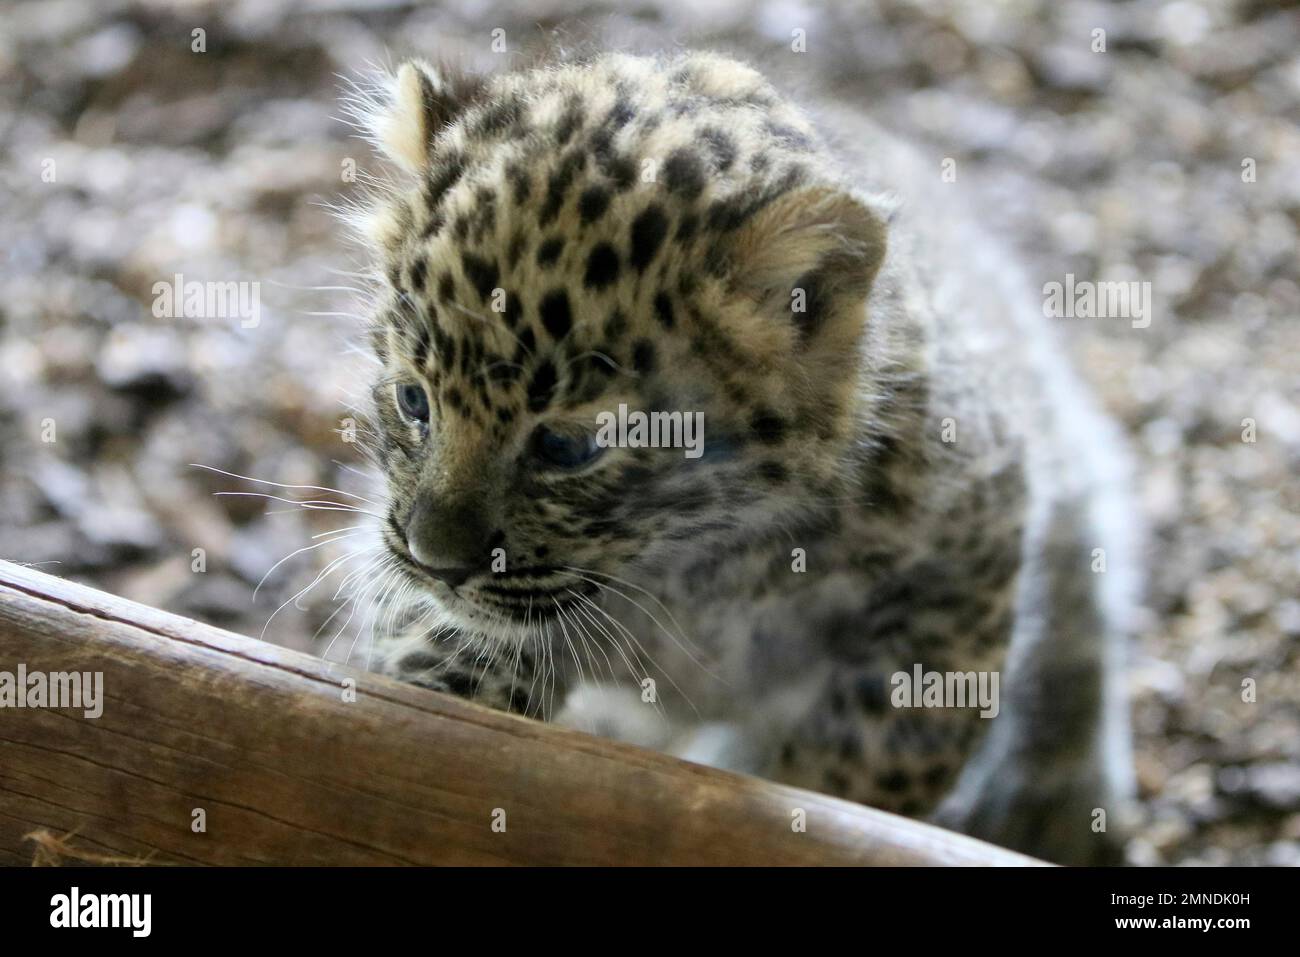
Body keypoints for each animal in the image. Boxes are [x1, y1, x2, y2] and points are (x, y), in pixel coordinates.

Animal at [342, 51, 1141, 865]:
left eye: (568, 447)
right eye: (414, 401)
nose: (433, 561)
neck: (696, 569)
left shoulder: (966, 570)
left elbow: (875, 759)